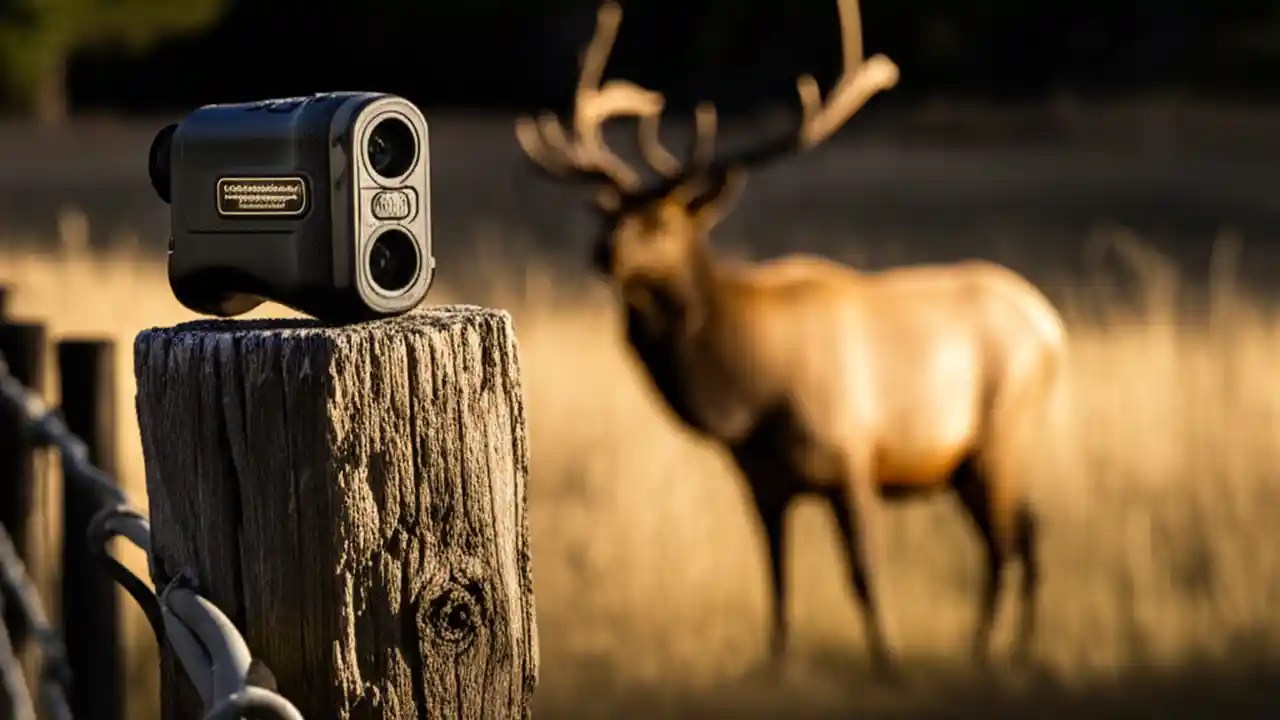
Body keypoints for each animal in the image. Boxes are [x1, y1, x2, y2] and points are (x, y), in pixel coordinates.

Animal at [514, 0, 1068, 680]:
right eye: (611, 213)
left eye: (662, 221)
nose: (602, 252)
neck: (749, 401)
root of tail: (1050, 324)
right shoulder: (762, 481)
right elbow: (776, 580)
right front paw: (776, 666)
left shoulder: (852, 456)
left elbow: (863, 570)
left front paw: (890, 662)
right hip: (971, 459)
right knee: (1026, 530)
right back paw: (1013, 648)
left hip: (1000, 432)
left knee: (1005, 541)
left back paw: (987, 649)